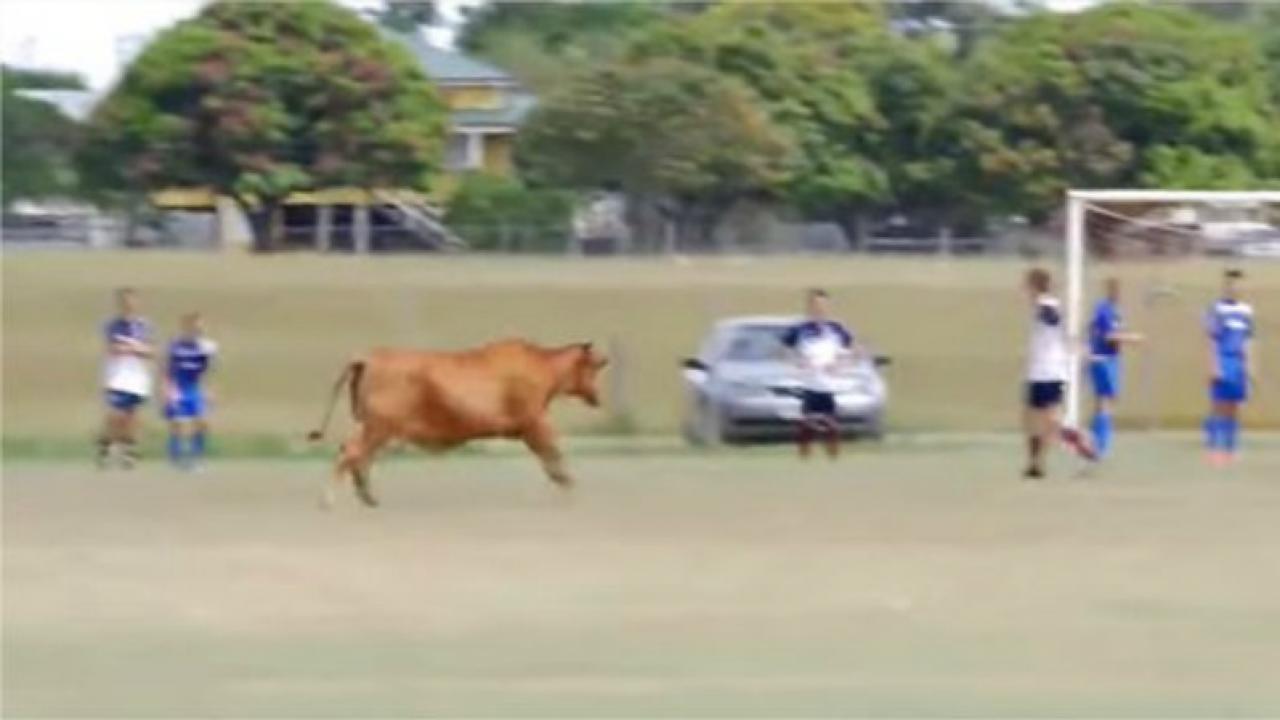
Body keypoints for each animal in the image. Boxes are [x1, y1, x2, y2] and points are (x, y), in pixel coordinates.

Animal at [306, 340, 608, 509]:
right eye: (595, 364)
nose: (598, 397)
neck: (541, 366)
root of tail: (367, 358)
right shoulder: (535, 423)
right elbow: (554, 457)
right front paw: (570, 488)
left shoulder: (529, 429)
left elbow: (550, 462)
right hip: (379, 427)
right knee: (353, 454)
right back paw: (329, 500)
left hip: (374, 427)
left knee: (357, 455)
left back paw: (367, 497)